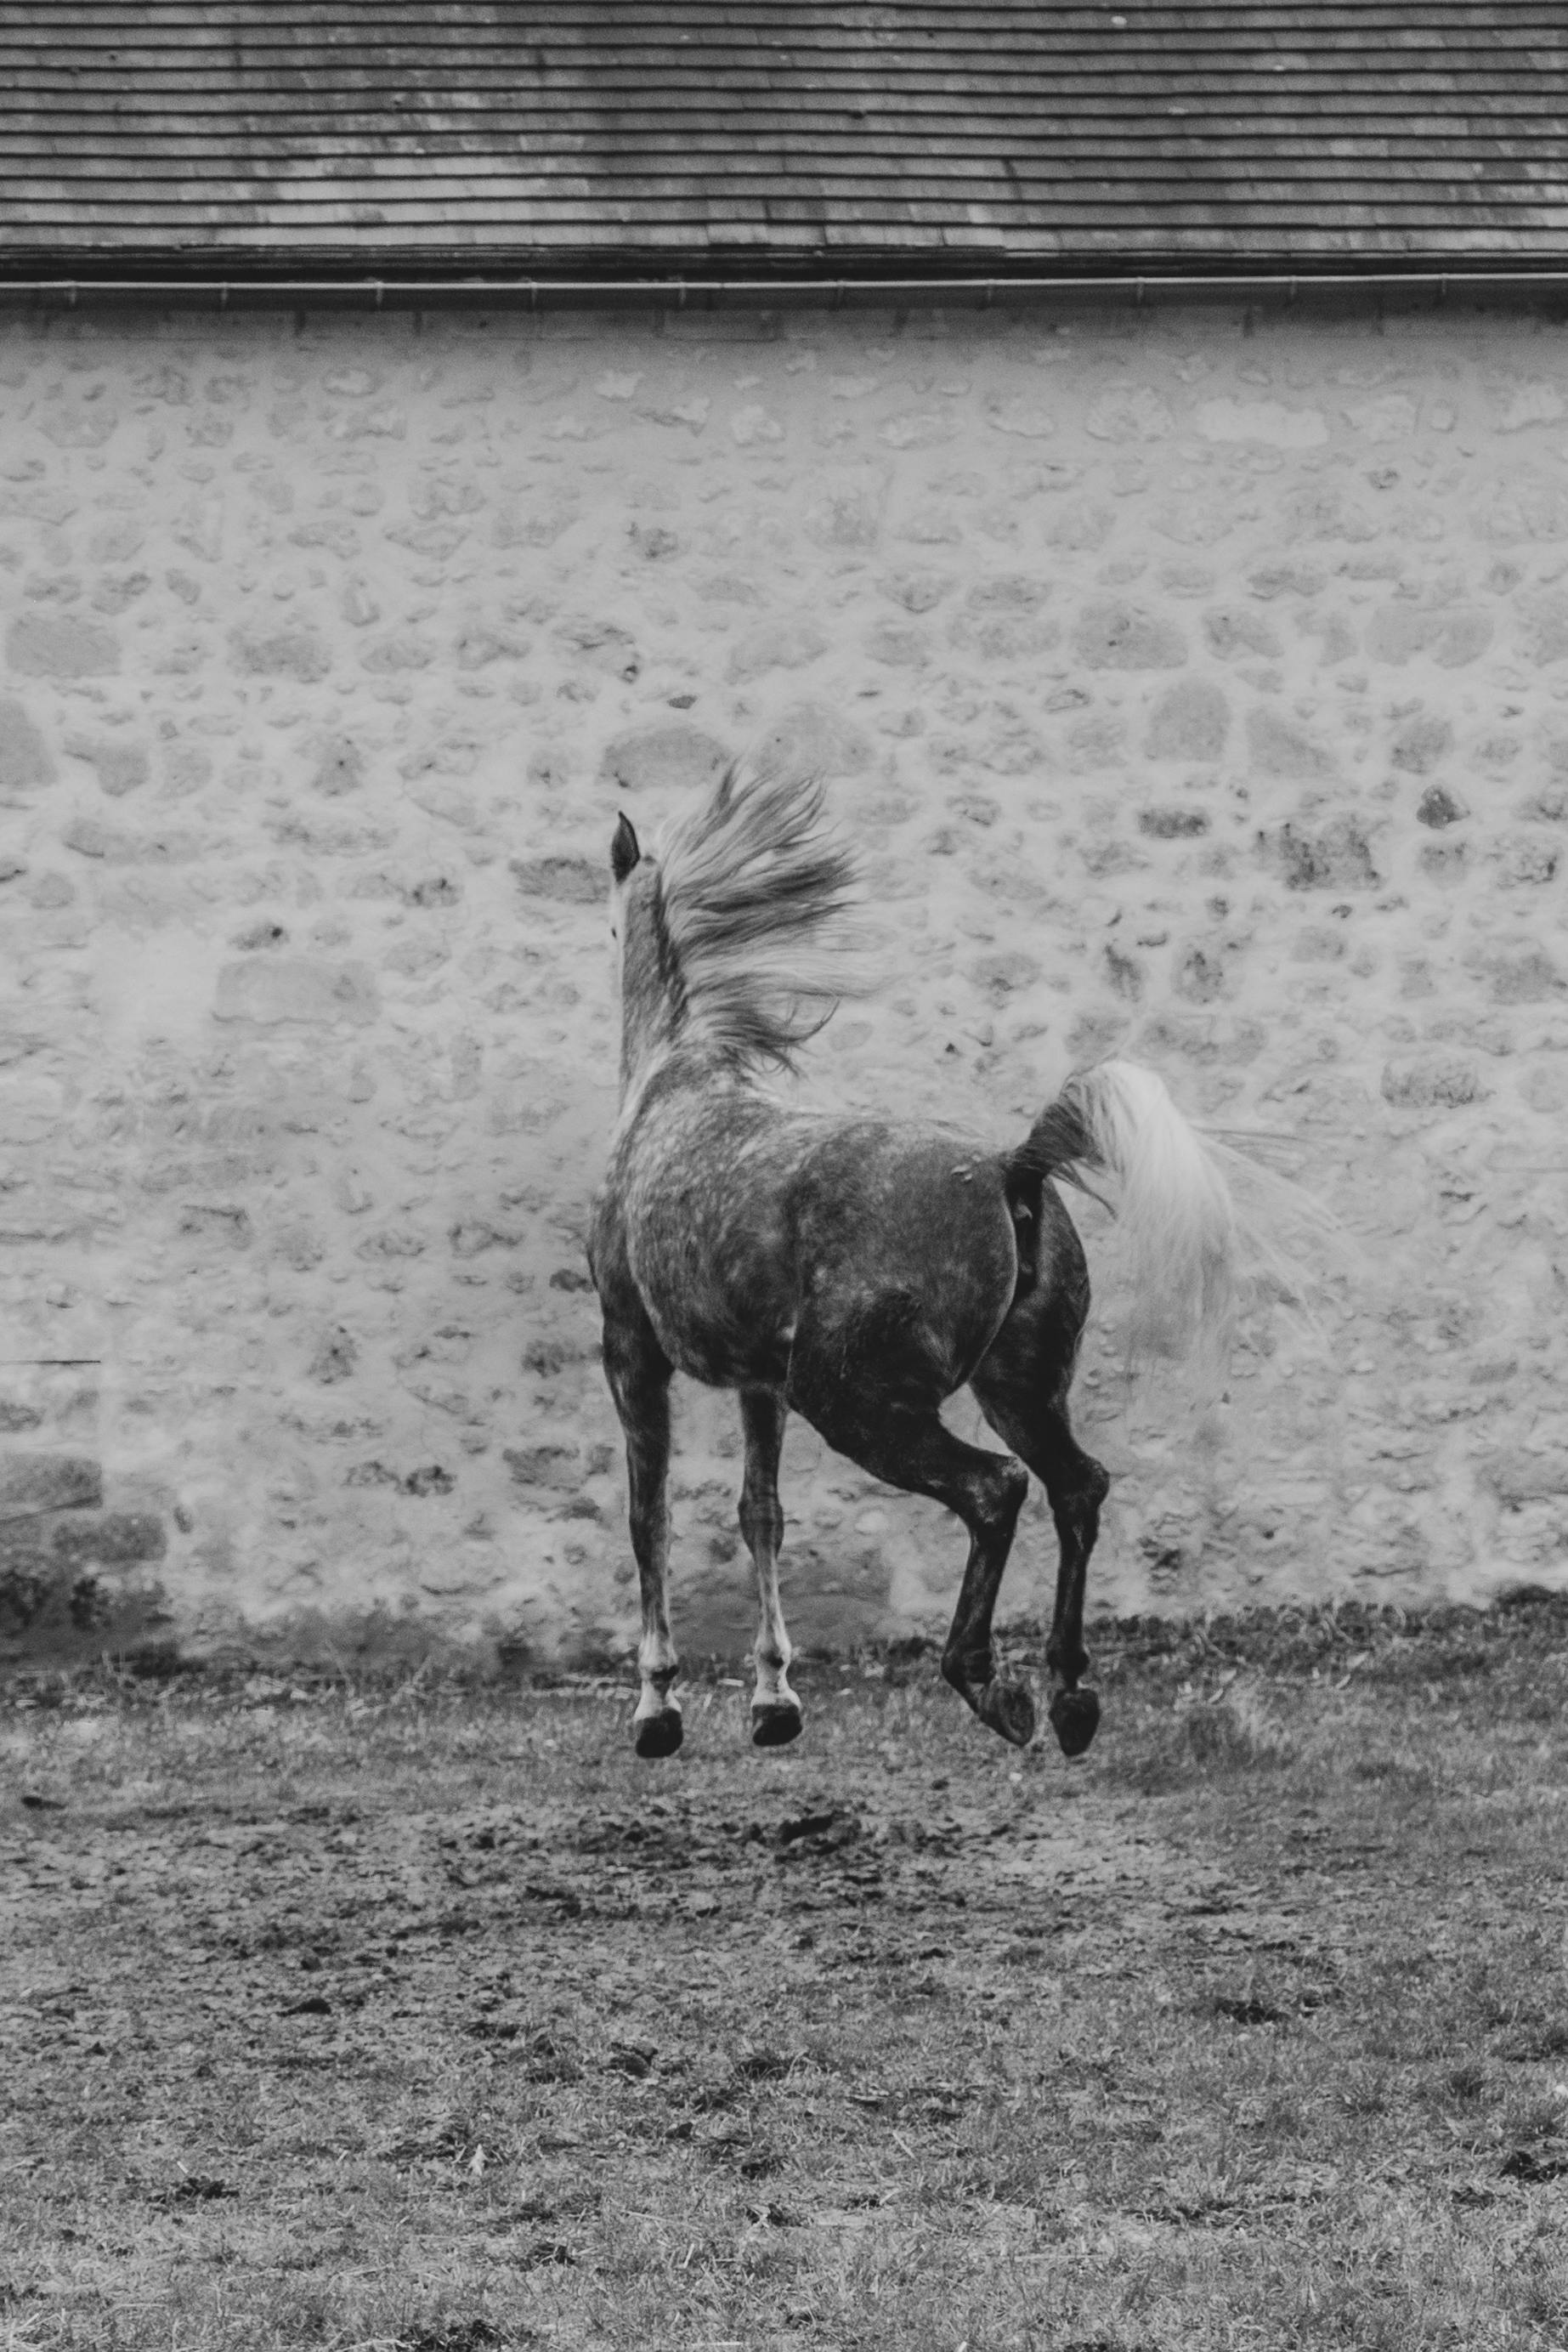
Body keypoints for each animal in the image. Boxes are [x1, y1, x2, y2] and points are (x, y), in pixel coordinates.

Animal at [587, 757, 1251, 1763]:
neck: (669, 1090)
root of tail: (1012, 1165)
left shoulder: (632, 1351)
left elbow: (648, 1516)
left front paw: (656, 1709)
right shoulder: (758, 1382)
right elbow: (760, 1514)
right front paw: (773, 1701)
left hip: (861, 1404)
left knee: (995, 1488)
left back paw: (990, 1685)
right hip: (1018, 1391)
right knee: (1077, 1486)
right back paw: (1067, 1694)